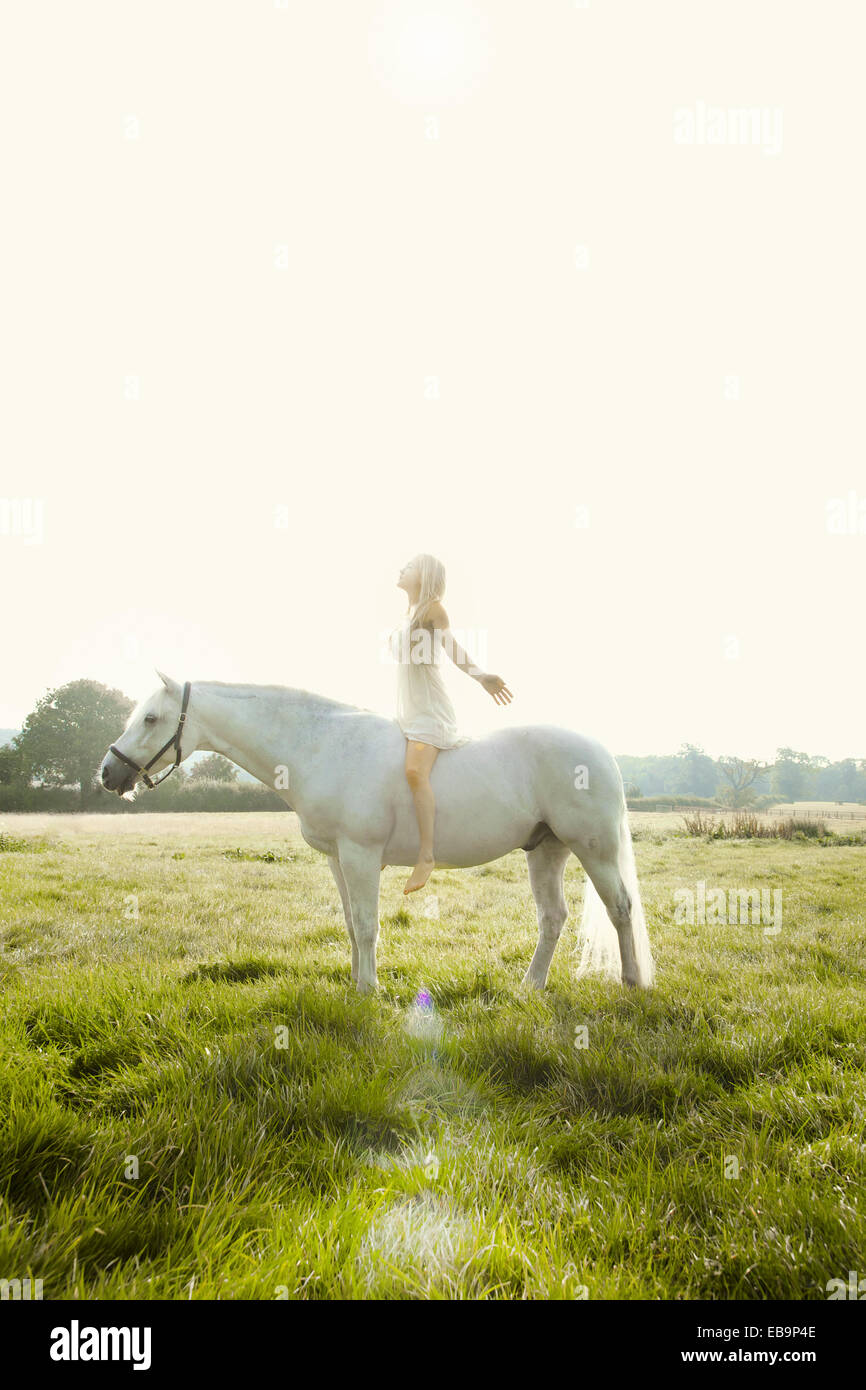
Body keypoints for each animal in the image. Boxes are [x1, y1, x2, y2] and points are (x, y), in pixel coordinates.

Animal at [99, 672, 655, 995]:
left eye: (151, 718)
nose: (109, 773)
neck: (321, 744)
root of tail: (601, 751)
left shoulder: (361, 855)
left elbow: (367, 924)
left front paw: (369, 990)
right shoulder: (337, 859)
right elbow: (350, 924)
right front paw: (355, 982)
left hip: (593, 850)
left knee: (620, 909)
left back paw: (631, 982)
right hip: (546, 850)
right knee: (552, 918)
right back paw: (530, 986)